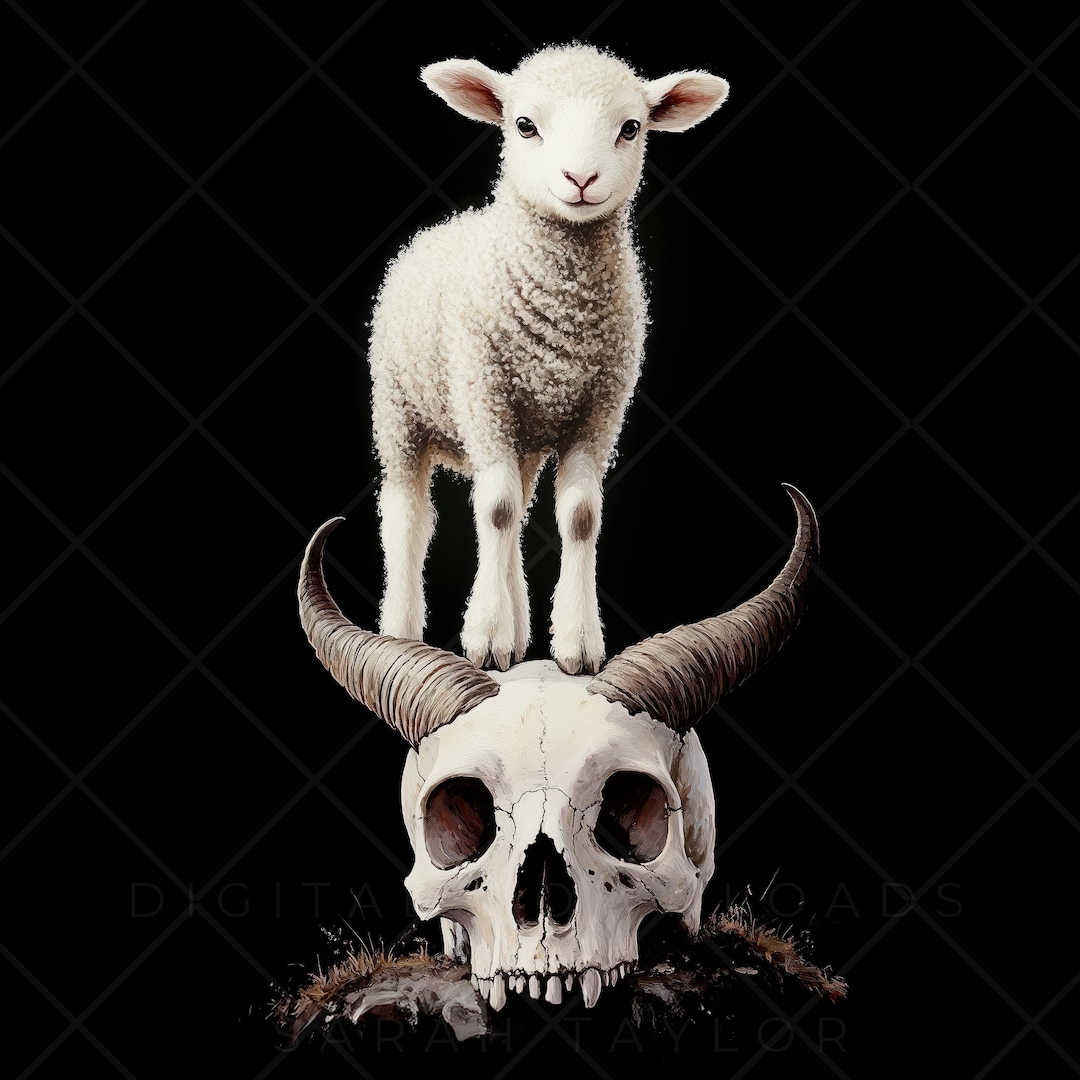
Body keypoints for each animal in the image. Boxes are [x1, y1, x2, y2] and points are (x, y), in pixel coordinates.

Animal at [368, 42, 729, 675]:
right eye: (524, 125)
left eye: (631, 127)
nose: (580, 179)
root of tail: (437, 229)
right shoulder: (483, 394)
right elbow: (493, 510)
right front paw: (486, 635)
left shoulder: (598, 410)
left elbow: (577, 516)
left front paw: (574, 643)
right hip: (400, 411)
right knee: (409, 518)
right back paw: (402, 630)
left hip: (527, 436)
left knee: (514, 511)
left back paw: (516, 628)